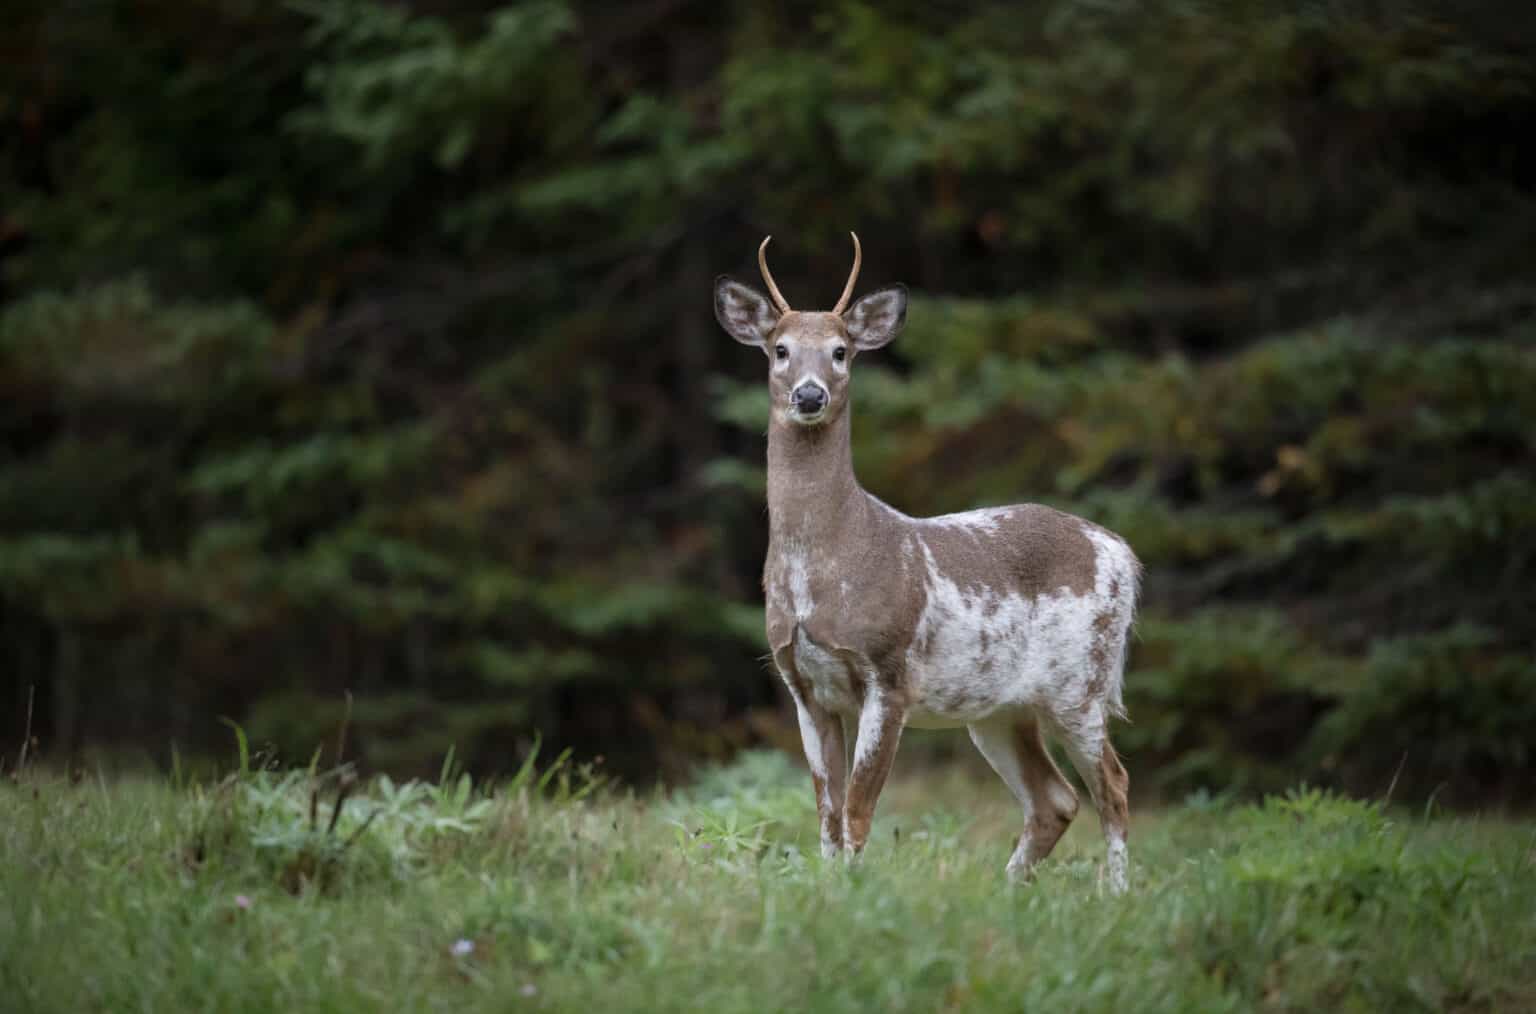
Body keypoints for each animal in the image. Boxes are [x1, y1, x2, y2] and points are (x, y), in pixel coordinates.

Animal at [714, 234, 1141, 892]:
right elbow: (826, 812)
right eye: (780, 349)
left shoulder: (889, 673)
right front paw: (828, 890)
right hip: (998, 708)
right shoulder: (801, 682)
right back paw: (1008, 892)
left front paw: (853, 893)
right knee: (1055, 799)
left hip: (1081, 679)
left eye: (841, 351)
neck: (826, 567)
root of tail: (1121, 549)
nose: (808, 394)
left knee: (1112, 786)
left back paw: (1115, 895)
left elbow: (858, 809)